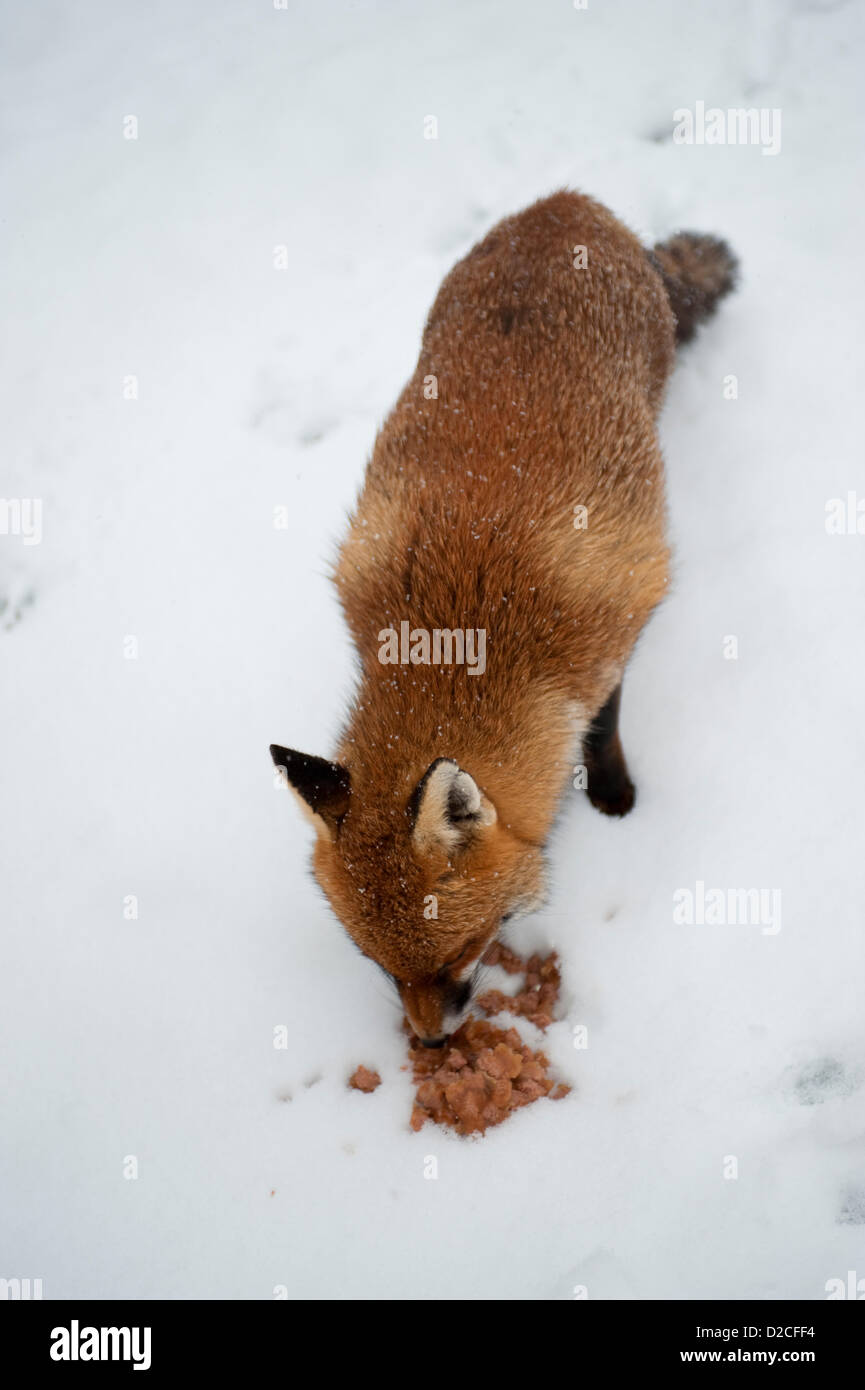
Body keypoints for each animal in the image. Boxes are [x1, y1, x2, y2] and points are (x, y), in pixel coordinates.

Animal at [271, 189, 737, 1046]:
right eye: (376, 964)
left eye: (464, 949)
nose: (429, 1042)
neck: (465, 627)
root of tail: (567, 201)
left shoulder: (618, 624)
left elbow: (604, 725)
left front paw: (612, 797)